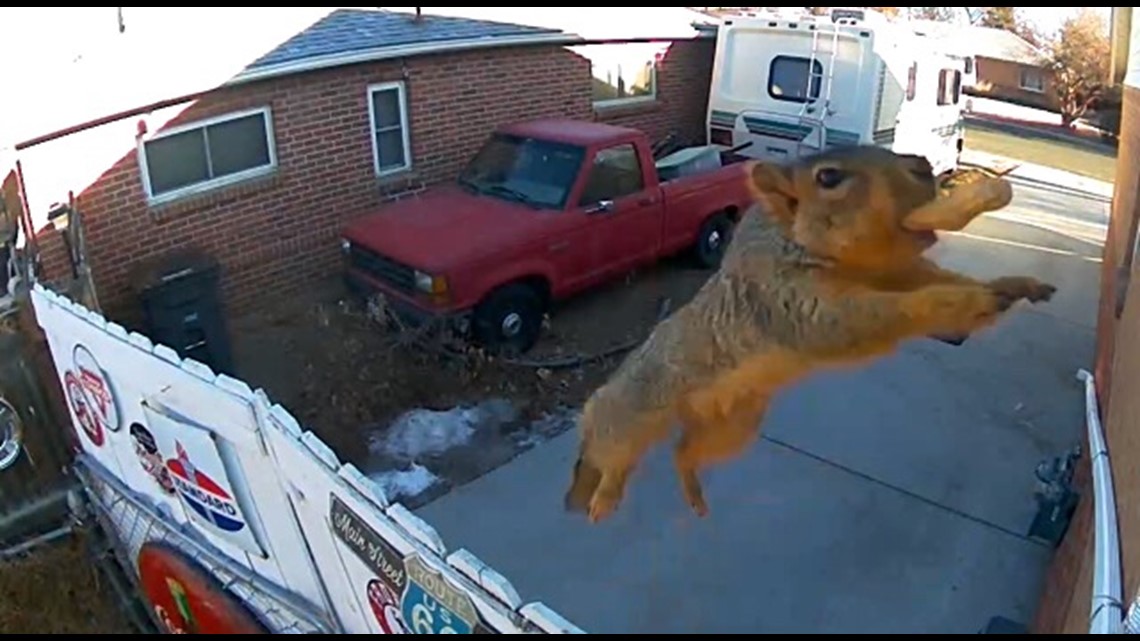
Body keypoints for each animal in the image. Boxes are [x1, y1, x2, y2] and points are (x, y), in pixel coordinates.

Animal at [563, 146, 1057, 524]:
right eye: (829, 177)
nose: (922, 164)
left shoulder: (905, 272)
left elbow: (943, 282)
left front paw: (1013, 285)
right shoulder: (793, 299)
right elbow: (868, 317)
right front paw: (967, 301)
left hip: (733, 425)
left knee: (683, 451)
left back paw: (693, 492)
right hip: (627, 417)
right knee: (612, 458)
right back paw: (602, 499)